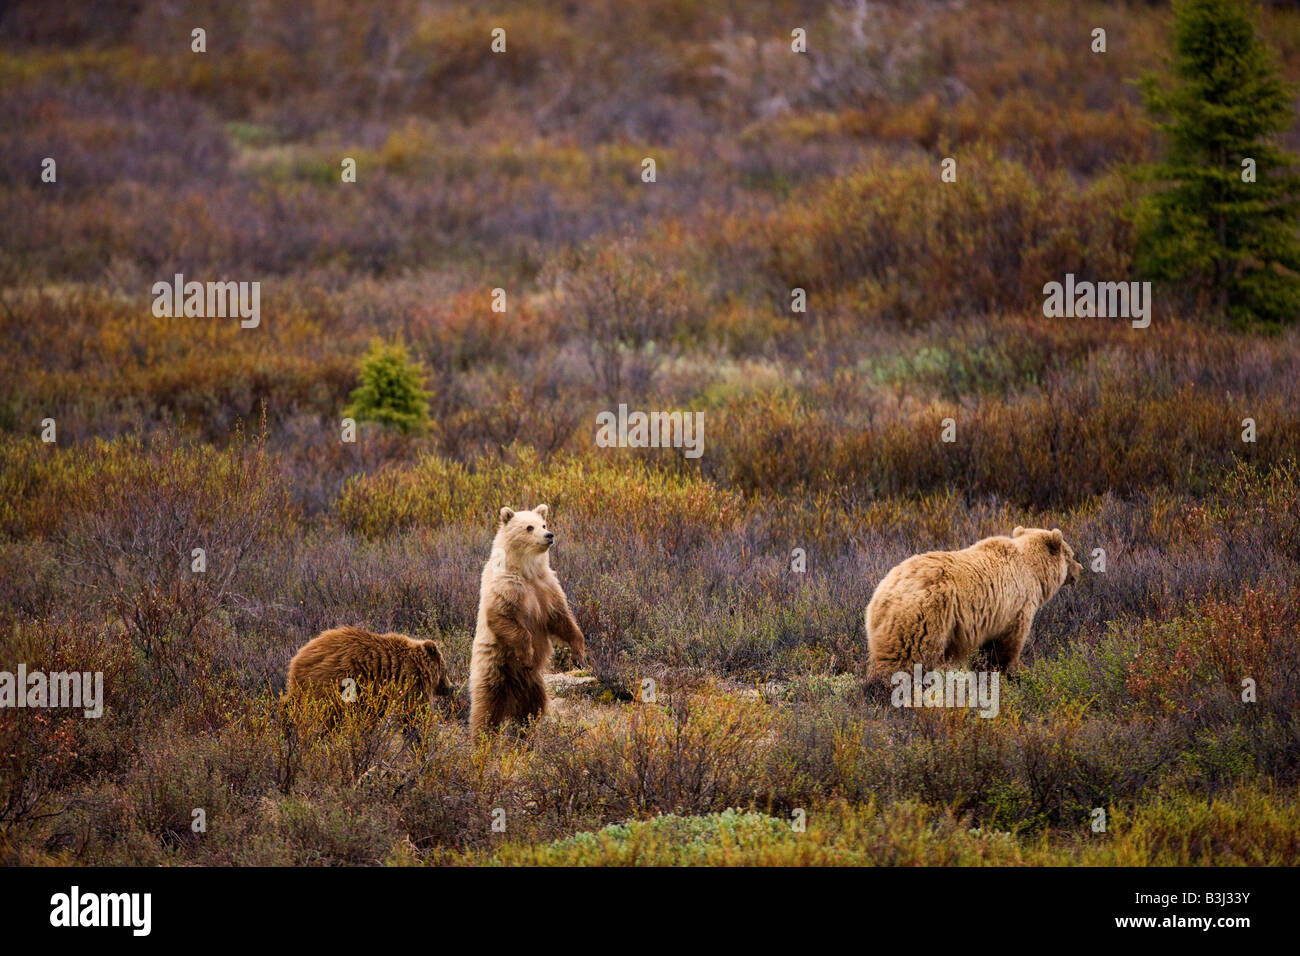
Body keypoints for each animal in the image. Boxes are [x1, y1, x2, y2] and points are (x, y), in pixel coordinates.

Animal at [468, 504, 586, 734]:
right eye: (529, 527)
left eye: (544, 524)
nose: (549, 535)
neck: (527, 570)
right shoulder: (506, 587)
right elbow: (504, 618)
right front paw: (528, 655)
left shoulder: (546, 588)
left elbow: (562, 619)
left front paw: (579, 654)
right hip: (495, 669)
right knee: (486, 709)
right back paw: (482, 738)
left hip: (535, 684)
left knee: (533, 708)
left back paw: (527, 732)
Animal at [865, 527, 1082, 677]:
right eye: (1070, 555)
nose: (1080, 568)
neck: (1034, 573)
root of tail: (886, 590)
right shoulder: (1016, 607)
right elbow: (1004, 648)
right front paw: (1015, 672)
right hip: (925, 616)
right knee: (908, 659)